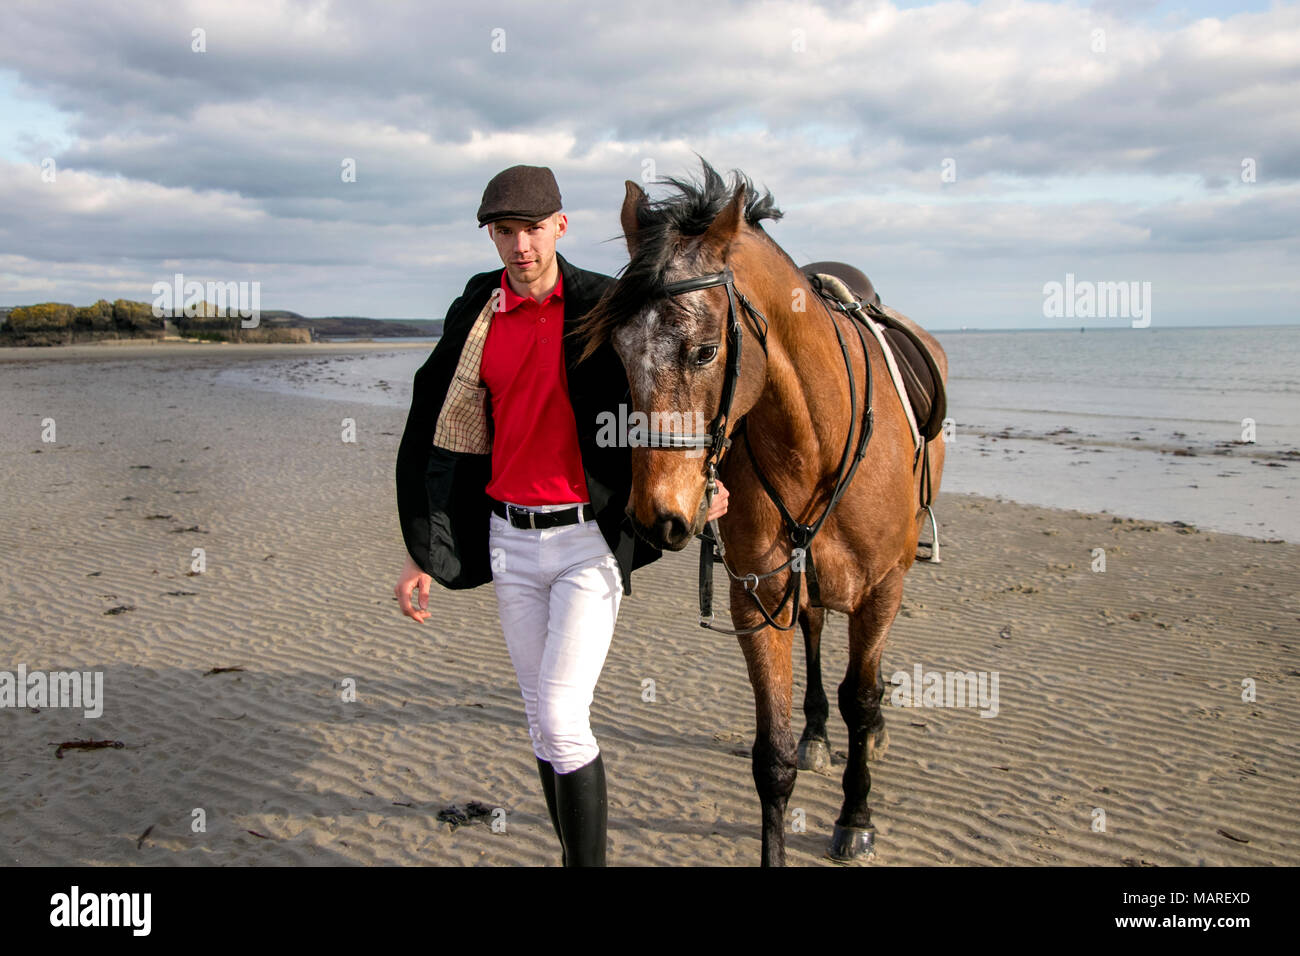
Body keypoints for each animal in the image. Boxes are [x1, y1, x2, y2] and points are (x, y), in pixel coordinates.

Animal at [573, 161, 948, 866]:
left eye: (703, 351)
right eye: (619, 353)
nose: (656, 517)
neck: (815, 441)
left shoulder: (883, 586)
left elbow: (863, 695)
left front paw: (857, 816)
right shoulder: (759, 597)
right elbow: (772, 760)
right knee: (817, 633)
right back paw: (818, 732)